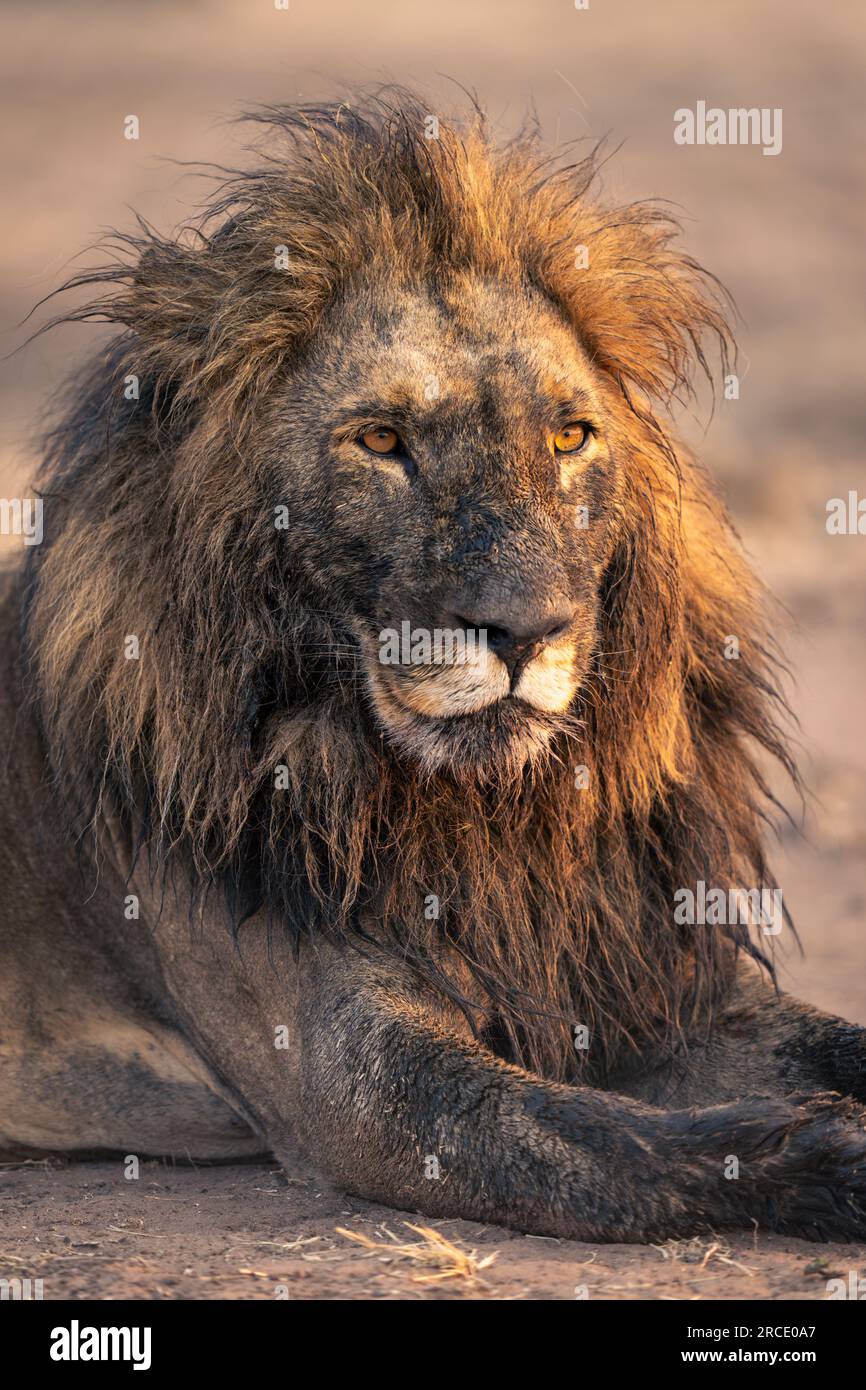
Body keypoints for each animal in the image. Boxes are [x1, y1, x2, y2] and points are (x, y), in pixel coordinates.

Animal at [2, 90, 866, 1243]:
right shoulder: (342, 1073)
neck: (489, 815)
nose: (523, 630)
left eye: (569, 436)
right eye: (381, 441)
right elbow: (579, 1139)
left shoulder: (635, 981)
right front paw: (831, 1159)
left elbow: (828, 1037)